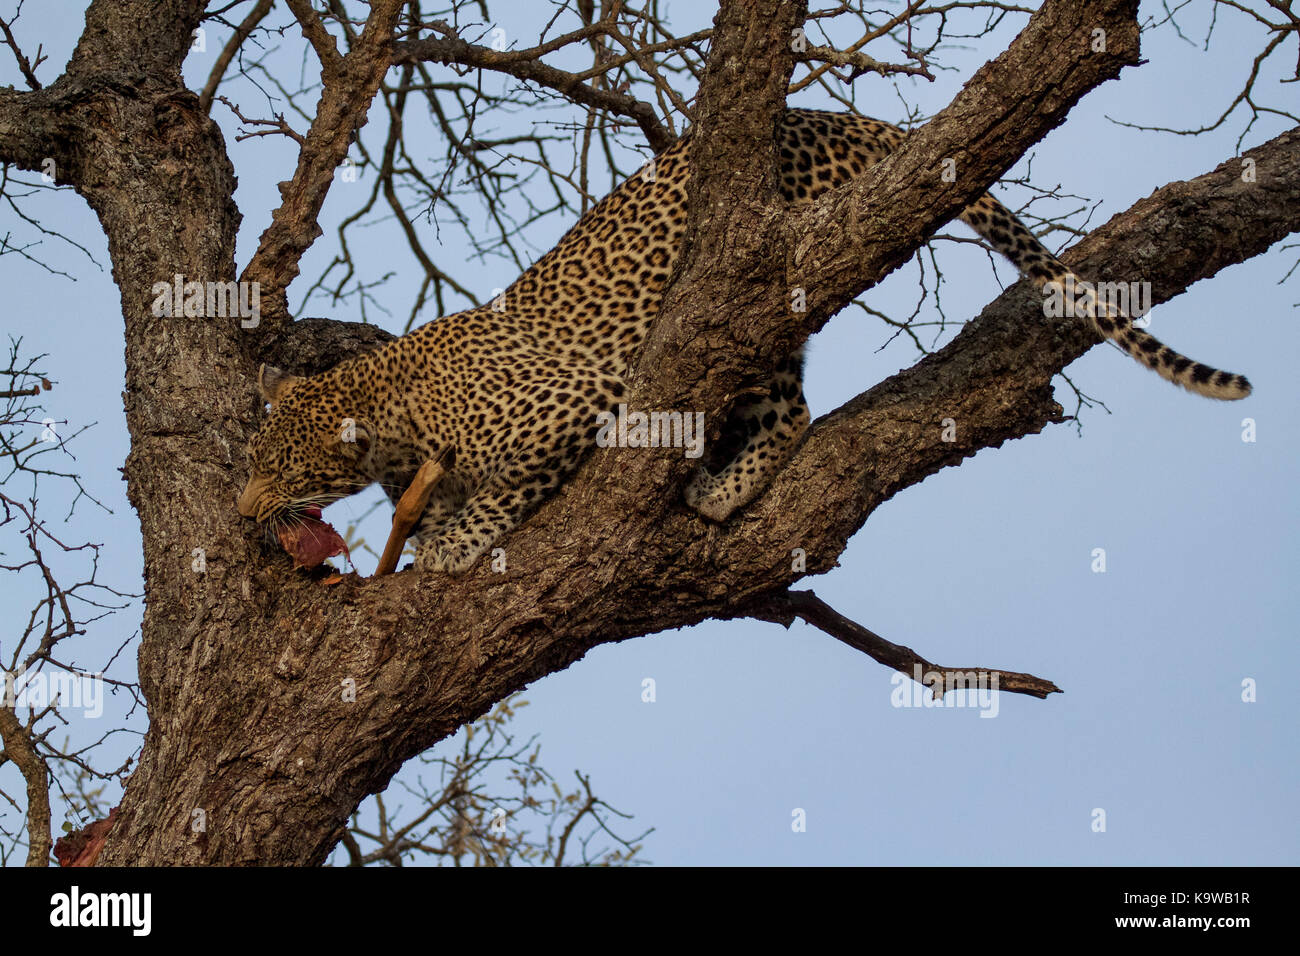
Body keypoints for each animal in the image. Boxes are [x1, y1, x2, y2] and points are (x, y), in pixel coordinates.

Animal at [238, 109, 1251, 574]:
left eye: (283, 467)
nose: (246, 512)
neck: (386, 415)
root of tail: (827, 113)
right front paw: (433, 528)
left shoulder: (577, 403)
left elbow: (505, 492)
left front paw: (453, 545)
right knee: (784, 406)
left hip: (760, 300)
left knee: (792, 408)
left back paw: (720, 489)